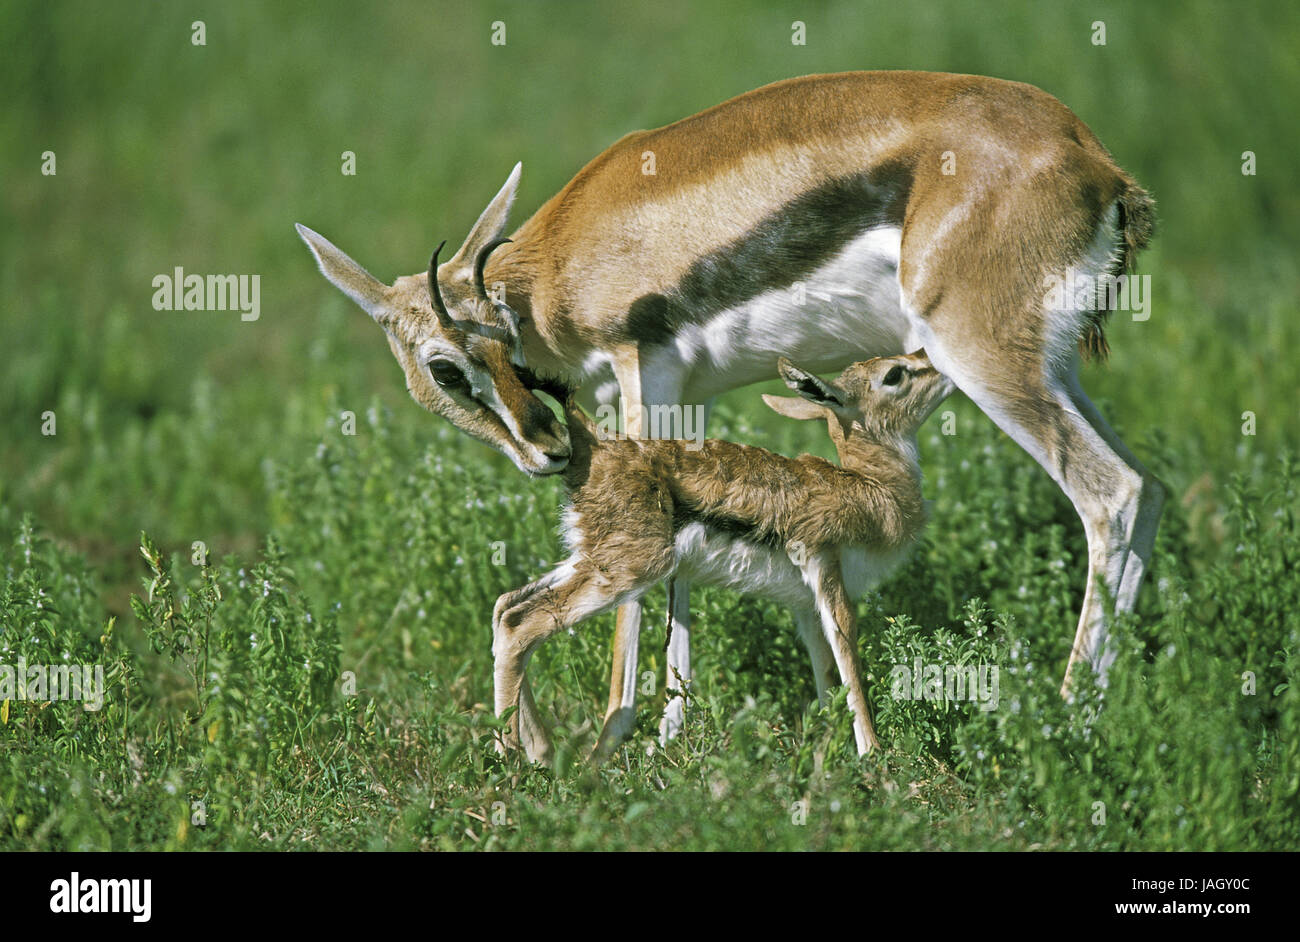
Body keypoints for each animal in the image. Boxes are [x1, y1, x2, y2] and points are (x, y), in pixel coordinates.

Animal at [493, 352, 953, 761]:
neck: (873, 488)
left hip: (587, 560)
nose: (938, 362)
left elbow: (826, 677)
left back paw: (535, 751)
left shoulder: (805, 604)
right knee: (520, 625)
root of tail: (597, 444)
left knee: (504, 606)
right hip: (628, 572)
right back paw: (516, 762)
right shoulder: (827, 573)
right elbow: (850, 665)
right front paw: (874, 760)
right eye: (893, 373)